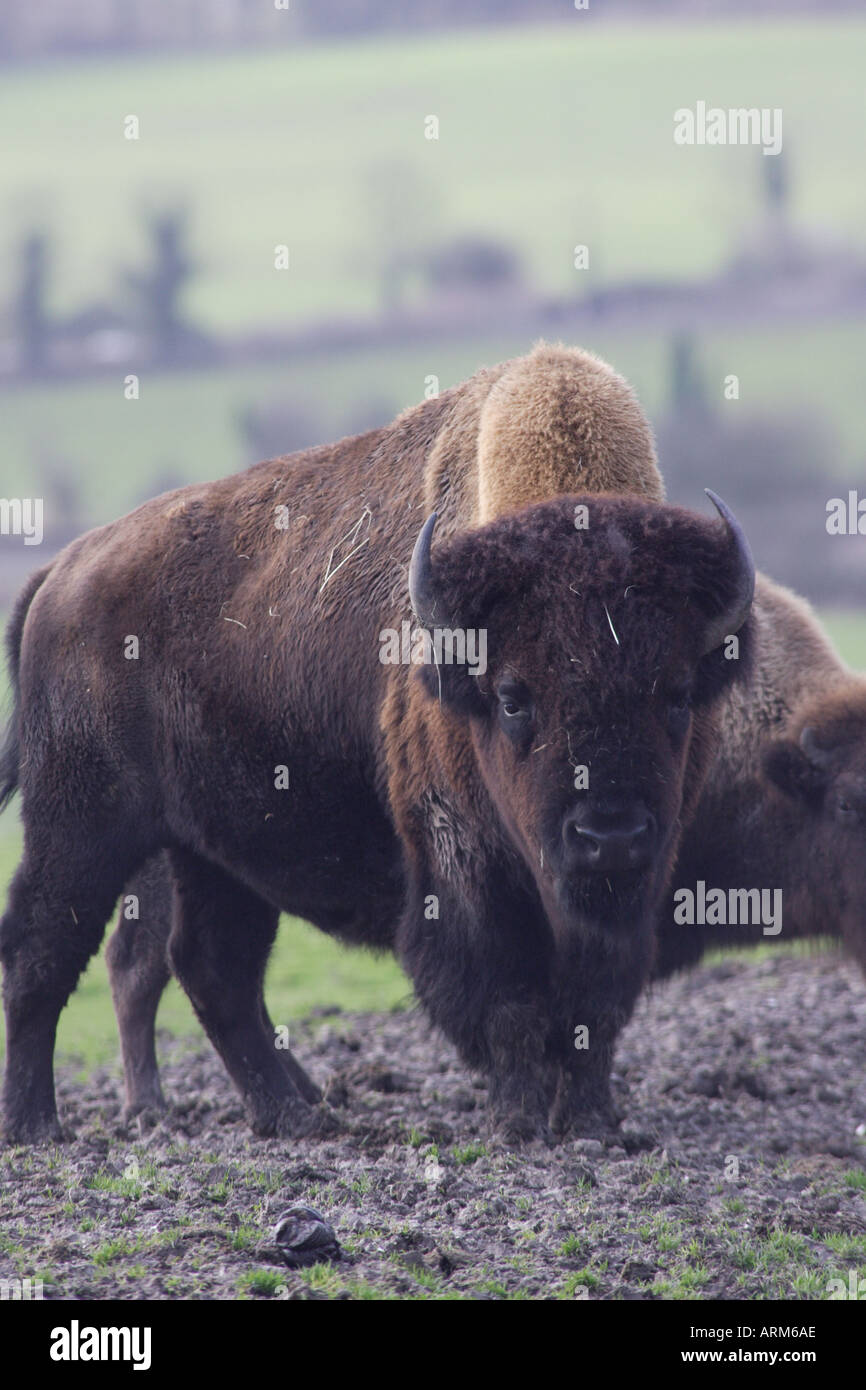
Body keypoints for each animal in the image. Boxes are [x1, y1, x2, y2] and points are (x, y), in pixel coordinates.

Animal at [0, 343, 755, 1145]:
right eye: (512, 697)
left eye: (677, 694)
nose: (607, 834)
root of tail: (60, 574)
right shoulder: (465, 868)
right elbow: (508, 999)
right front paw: (517, 1121)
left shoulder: (636, 881)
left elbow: (595, 1006)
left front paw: (593, 1123)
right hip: (82, 824)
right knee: (44, 949)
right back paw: (37, 1125)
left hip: (211, 850)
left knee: (210, 965)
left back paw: (292, 1114)